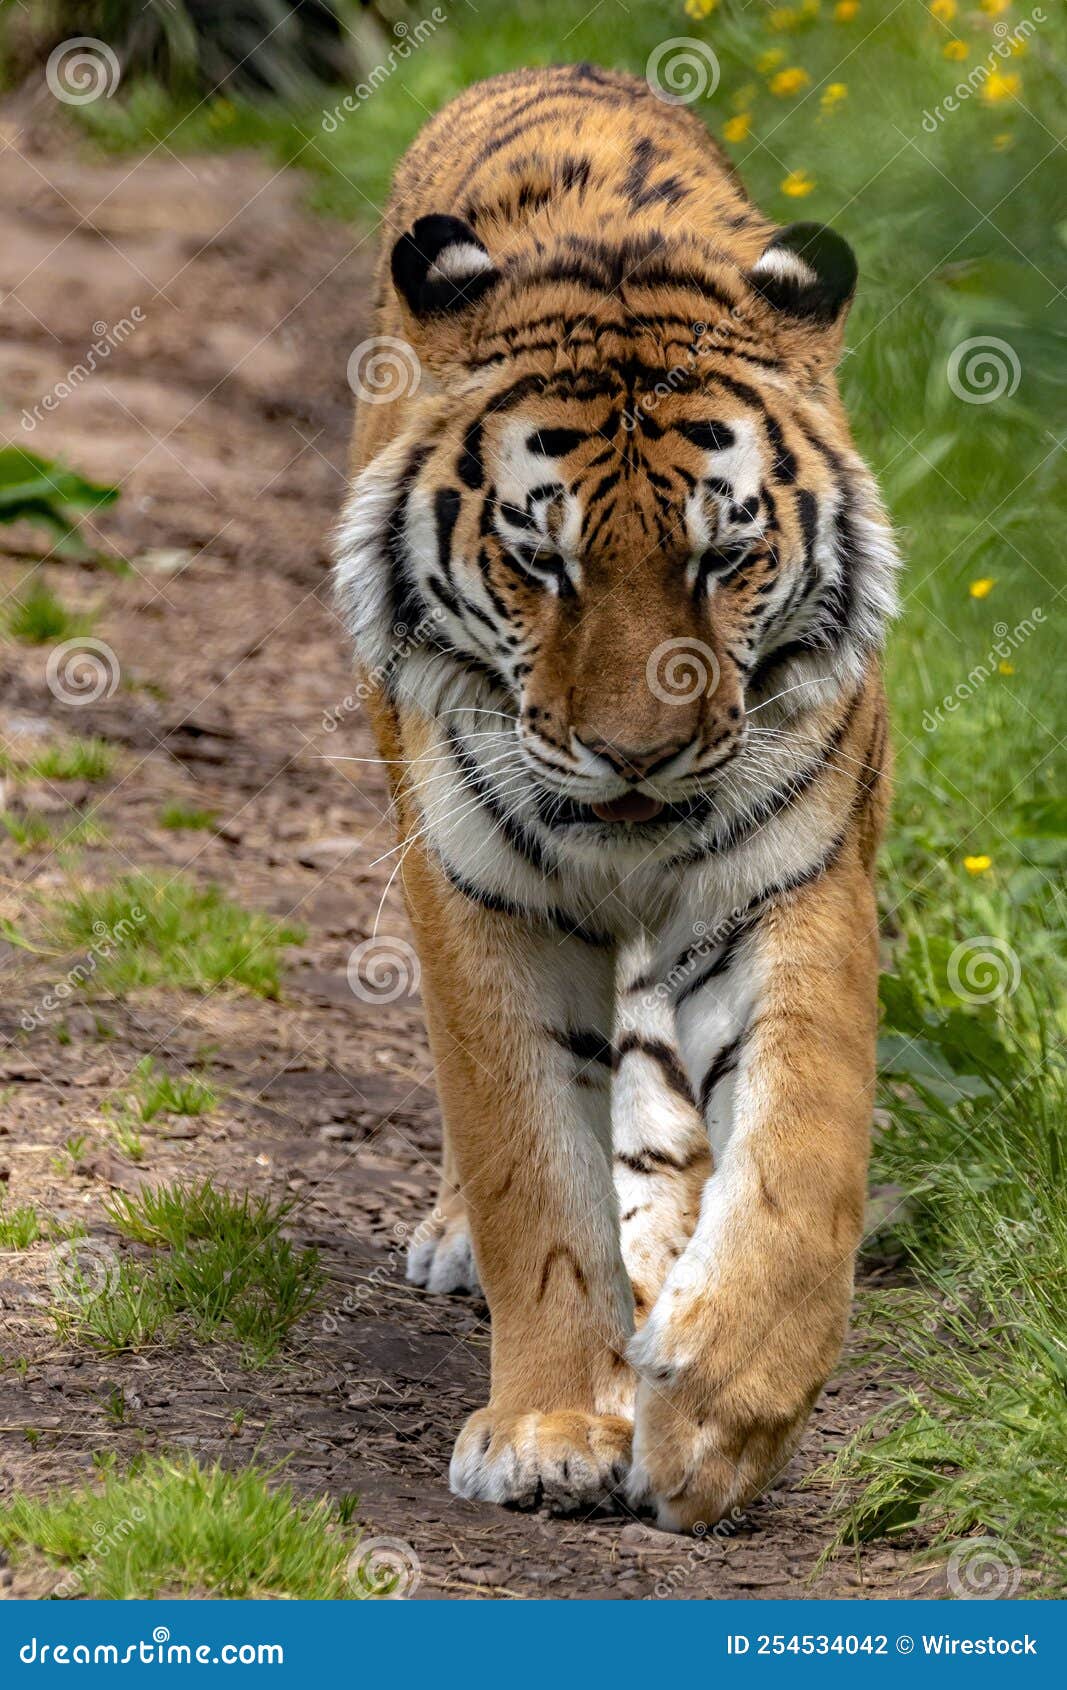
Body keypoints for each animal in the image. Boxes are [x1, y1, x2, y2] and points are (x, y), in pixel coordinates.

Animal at [333, 62, 898, 1533]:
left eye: (724, 555)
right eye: (541, 561)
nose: (635, 756)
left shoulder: (787, 878)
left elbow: (801, 1147)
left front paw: (714, 1411)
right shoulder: (480, 891)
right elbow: (529, 1168)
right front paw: (545, 1426)